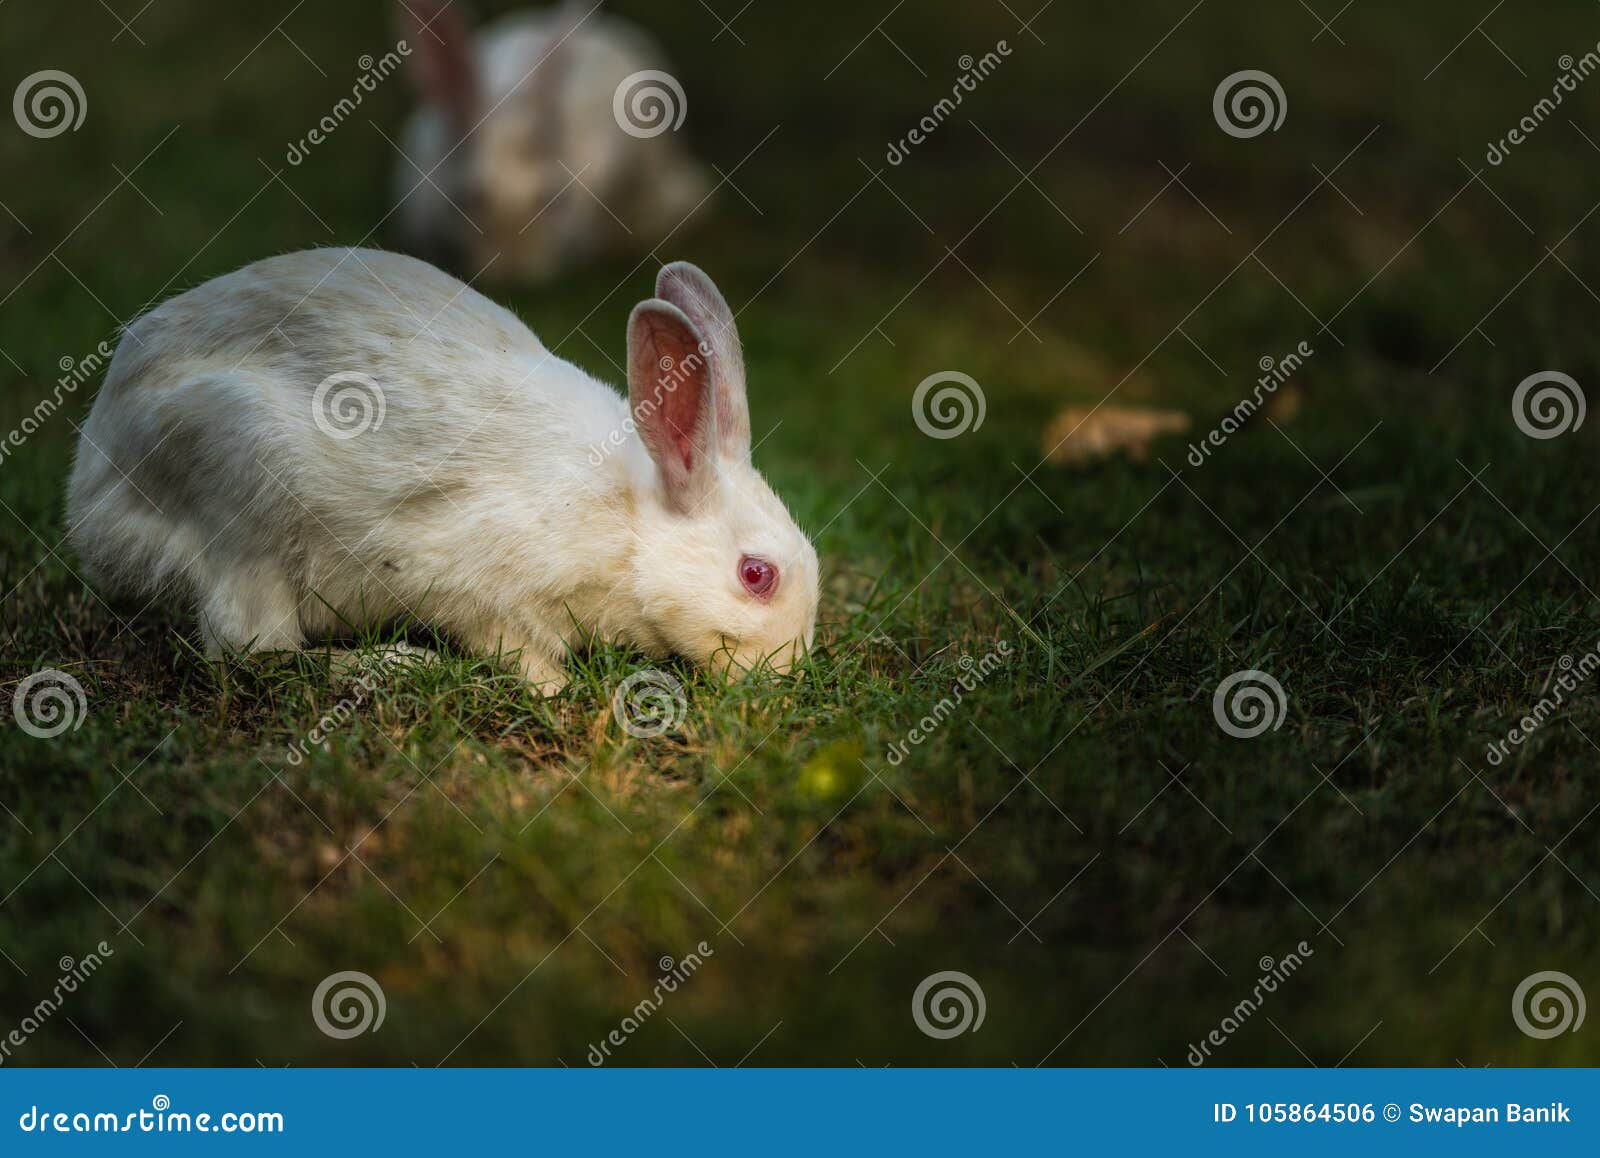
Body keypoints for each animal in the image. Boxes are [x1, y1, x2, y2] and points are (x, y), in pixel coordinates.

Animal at [65, 247, 819, 694]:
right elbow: (509, 646)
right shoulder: (474, 586)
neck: (630, 526)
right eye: (757, 575)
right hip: (241, 483)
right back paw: (394, 664)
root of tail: (91, 512)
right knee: (250, 647)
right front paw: (557, 689)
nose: (783, 676)